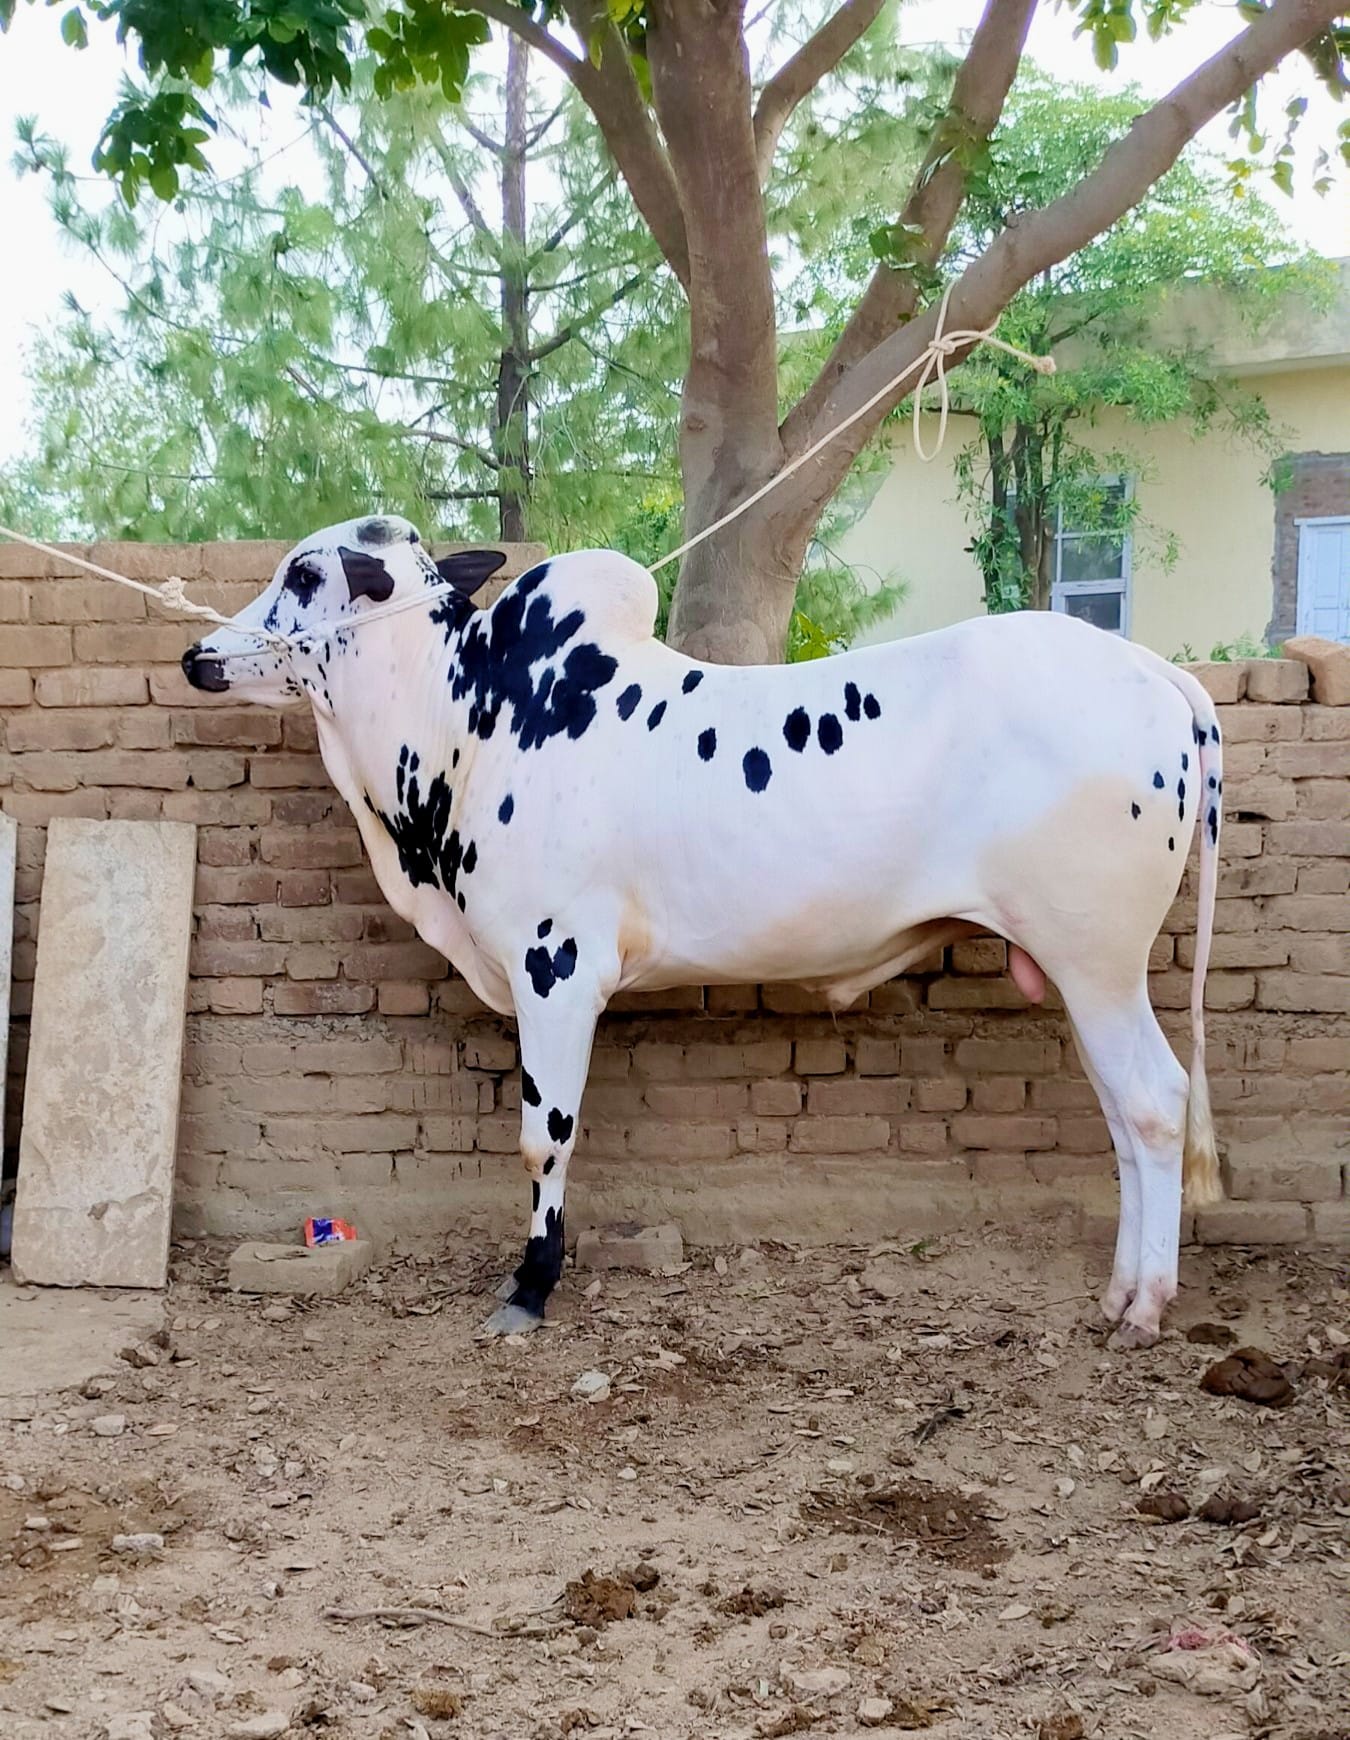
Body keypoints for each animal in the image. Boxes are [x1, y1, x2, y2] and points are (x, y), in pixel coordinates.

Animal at [182, 512, 1223, 1348]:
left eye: (304, 575)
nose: (200, 655)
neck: (468, 728)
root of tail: (1153, 671)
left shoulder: (554, 967)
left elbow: (542, 1139)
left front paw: (530, 1286)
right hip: (1085, 970)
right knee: (1127, 1115)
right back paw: (1120, 1289)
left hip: (1097, 959)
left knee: (1154, 1103)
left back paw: (1145, 1306)